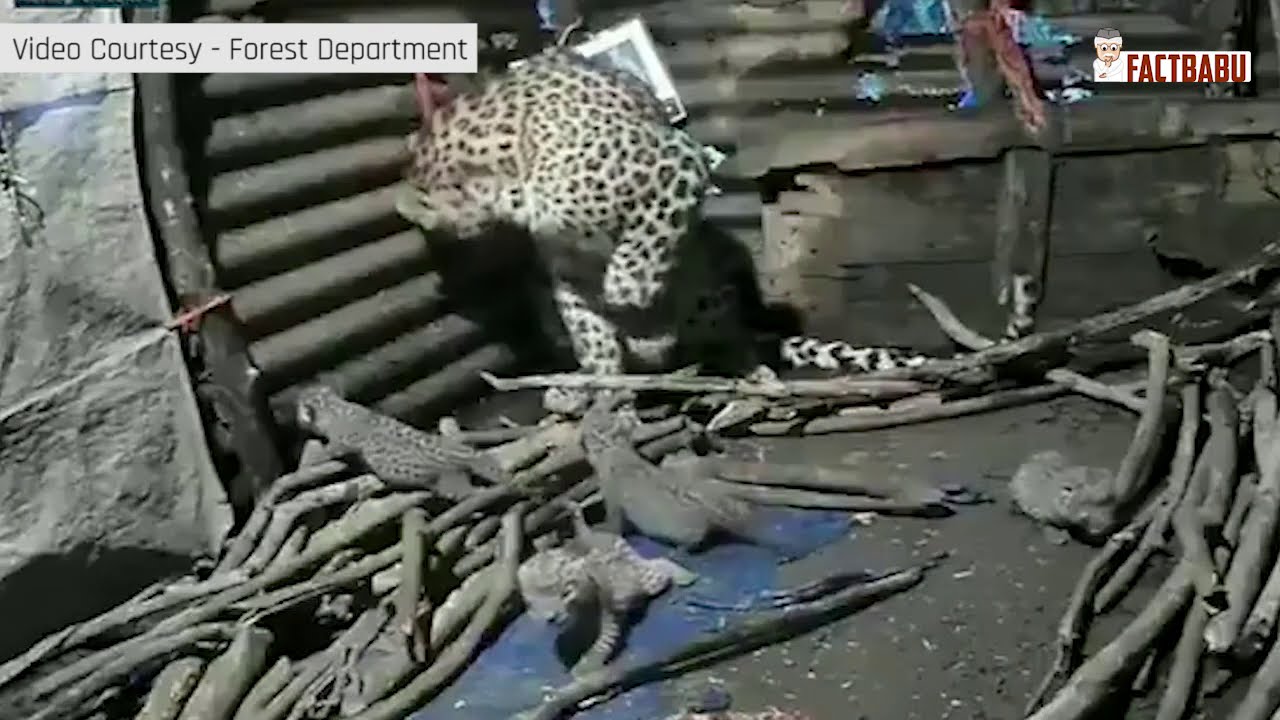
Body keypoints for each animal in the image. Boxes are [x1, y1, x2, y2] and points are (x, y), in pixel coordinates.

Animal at [395, 42, 927, 415]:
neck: (511, 168)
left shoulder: (678, 165)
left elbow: (638, 259)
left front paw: (636, 316)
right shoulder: (568, 270)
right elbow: (594, 338)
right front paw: (603, 386)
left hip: (710, 290)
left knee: (729, 338)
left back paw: (747, 371)